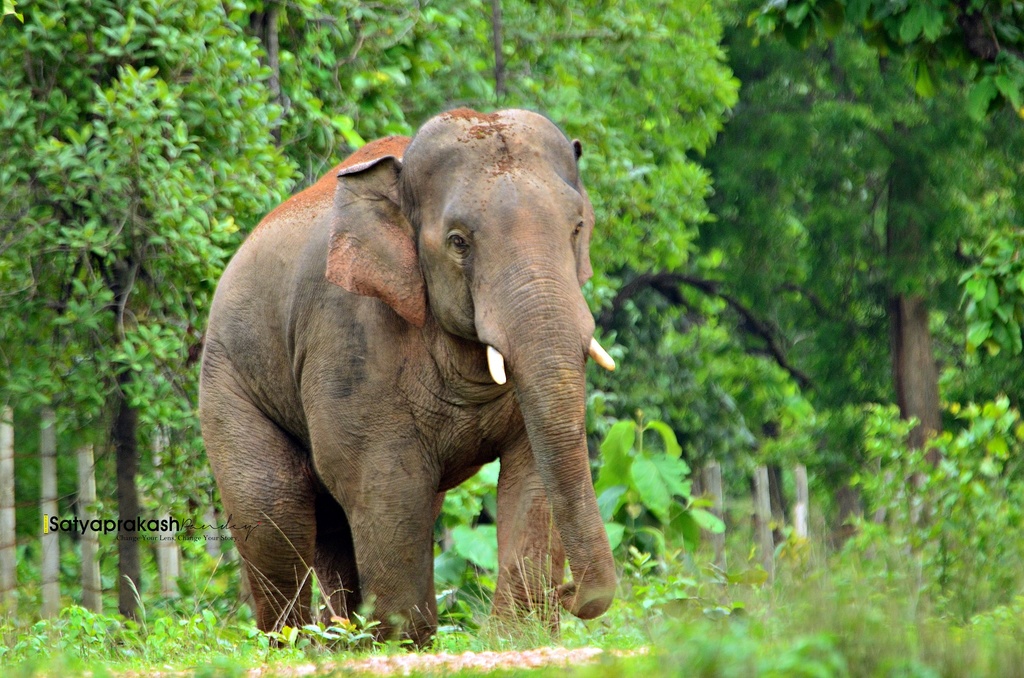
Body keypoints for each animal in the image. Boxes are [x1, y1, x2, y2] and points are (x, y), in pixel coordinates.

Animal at [199, 108, 618, 645]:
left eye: (578, 227)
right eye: (458, 242)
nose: (570, 595)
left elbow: (533, 473)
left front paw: (518, 638)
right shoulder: (349, 336)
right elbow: (385, 482)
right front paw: (409, 642)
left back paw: (342, 640)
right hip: (228, 379)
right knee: (274, 508)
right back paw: (296, 645)